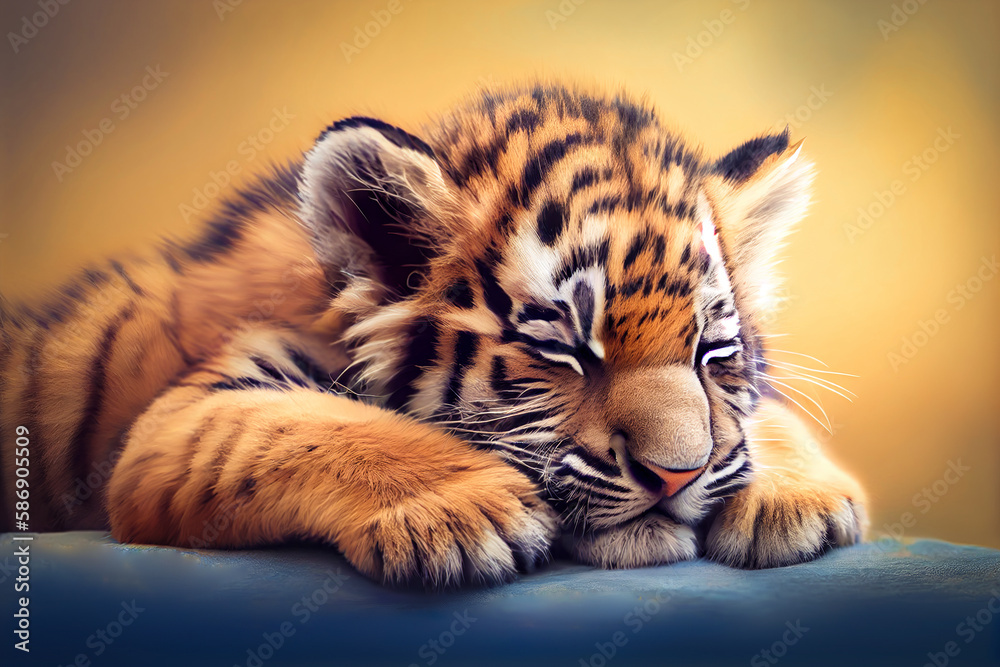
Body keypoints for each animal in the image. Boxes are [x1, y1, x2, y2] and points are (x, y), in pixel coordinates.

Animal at [0, 82, 867, 587]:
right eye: (564, 350)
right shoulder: (186, 417)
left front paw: (802, 497)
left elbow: (757, 417)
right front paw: (465, 511)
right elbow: (310, 423)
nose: (677, 476)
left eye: (711, 353)